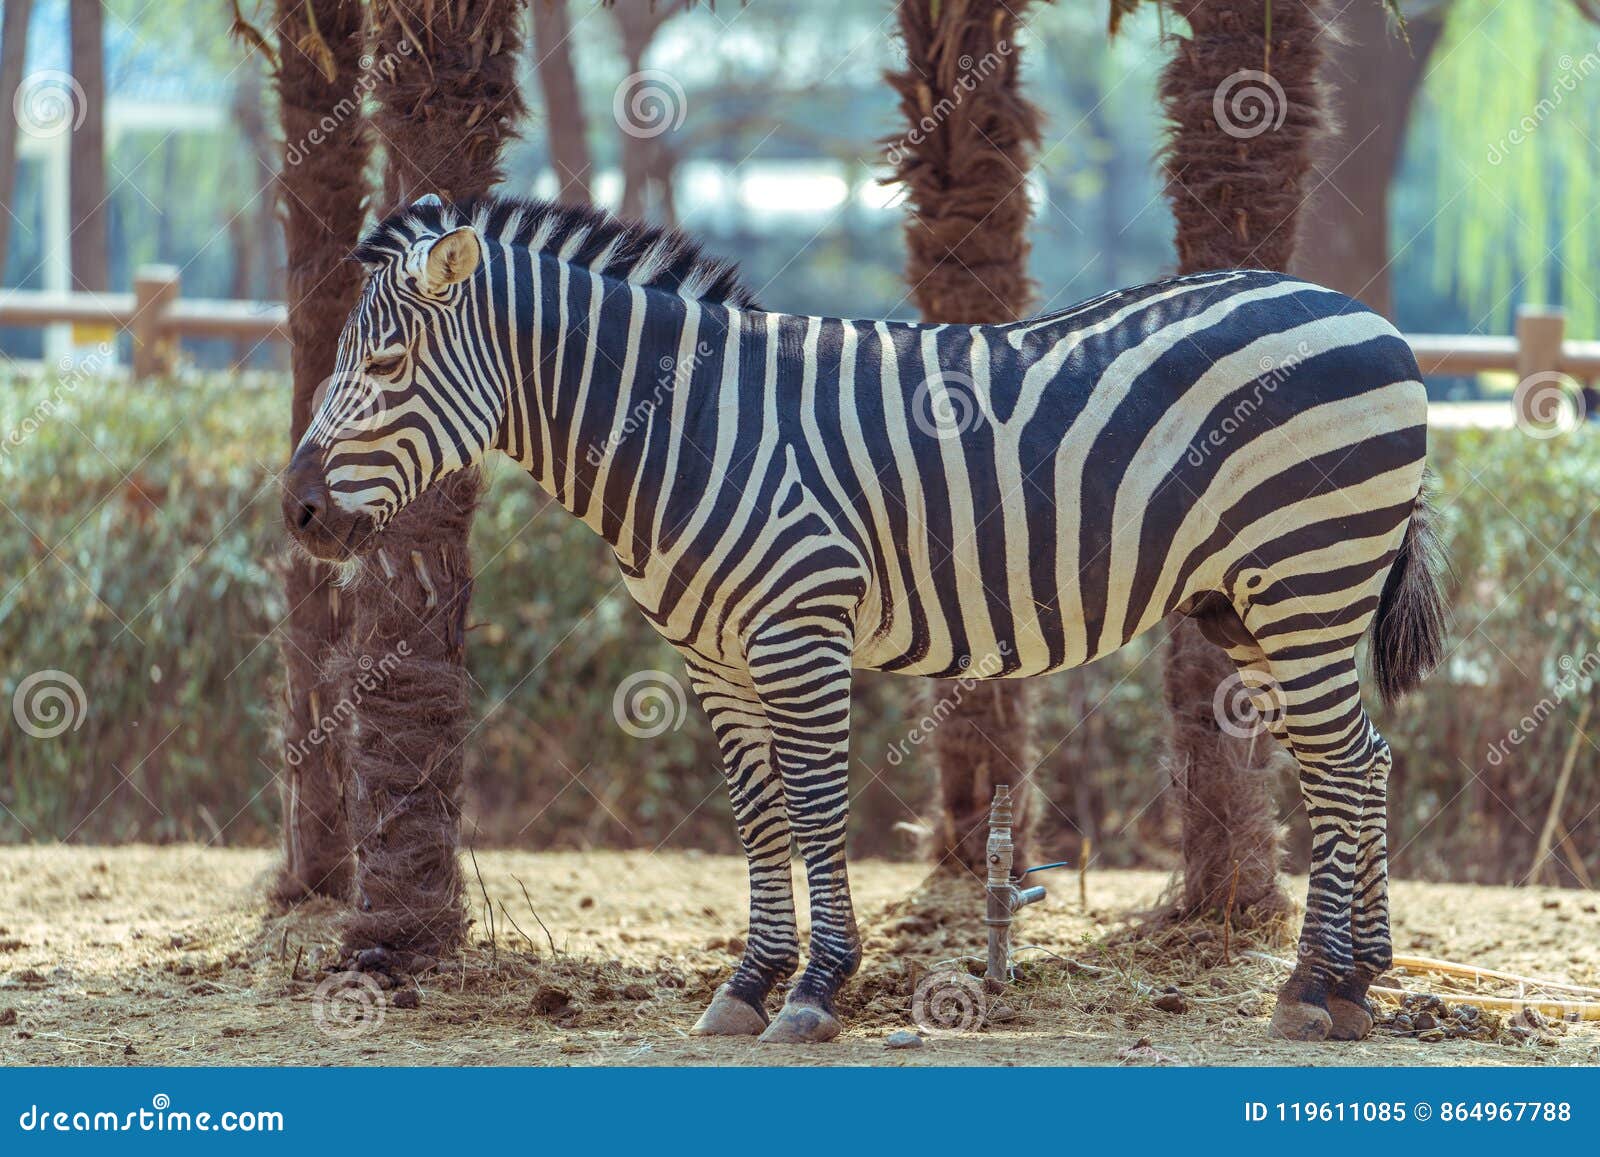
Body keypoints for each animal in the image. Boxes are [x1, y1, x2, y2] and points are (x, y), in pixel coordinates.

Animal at [283, 194, 1447, 1045]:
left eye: (383, 365)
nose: (296, 513)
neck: (685, 428)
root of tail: (1366, 315)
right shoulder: (712, 654)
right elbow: (757, 814)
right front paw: (749, 983)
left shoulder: (800, 631)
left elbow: (812, 806)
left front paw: (816, 989)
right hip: (1260, 601)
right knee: (1362, 760)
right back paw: (1358, 981)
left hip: (1306, 573)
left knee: (1342, 764)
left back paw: (1311, 986)